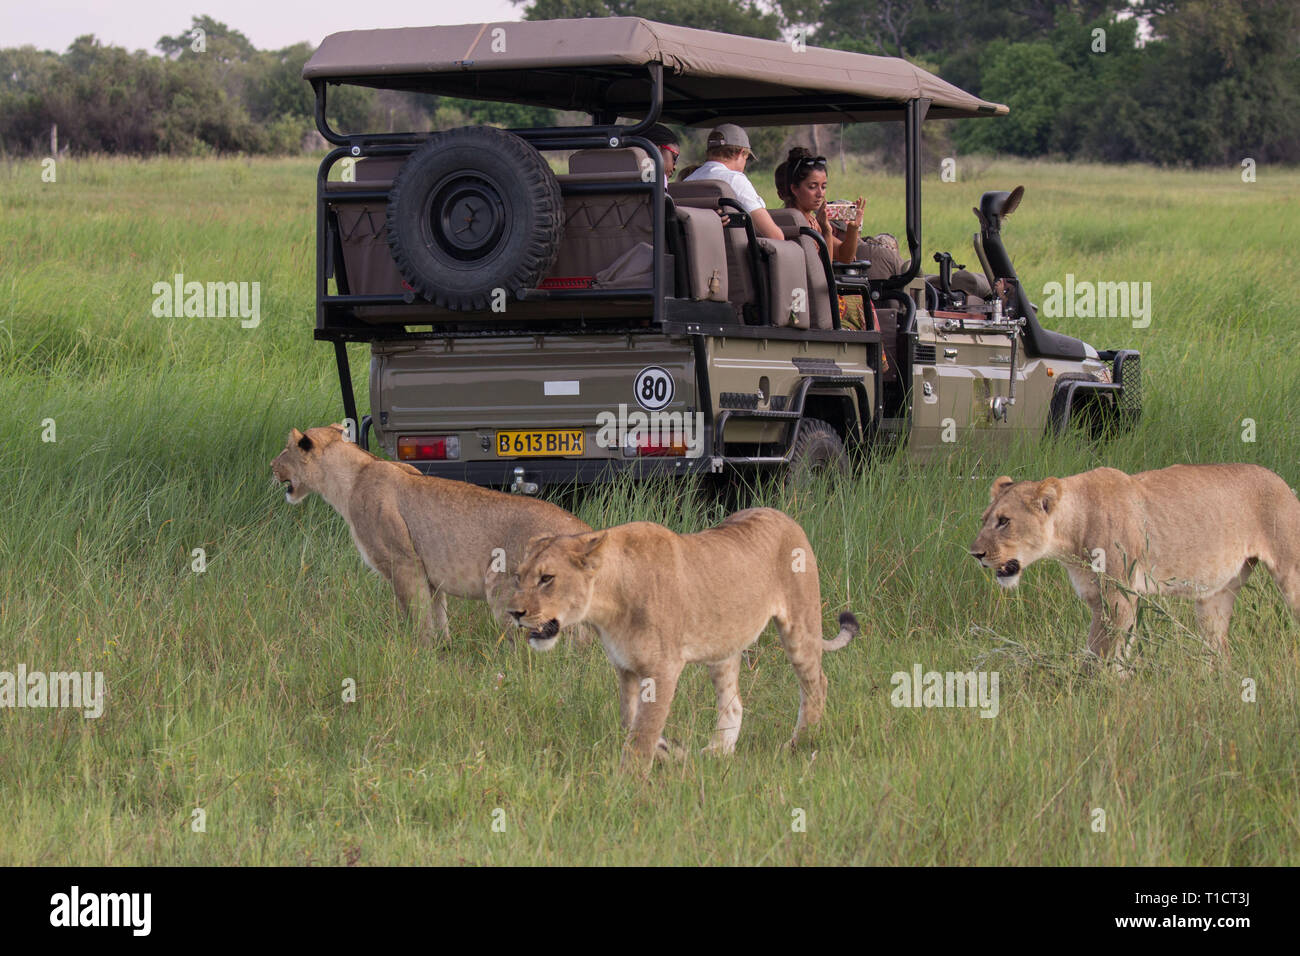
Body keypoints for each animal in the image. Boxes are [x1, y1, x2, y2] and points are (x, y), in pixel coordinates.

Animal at [270, 424, 591, 643]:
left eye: (285, 450)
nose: (272, 466)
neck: (351, 478)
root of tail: (583, 531)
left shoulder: (404, 563)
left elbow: (417, 616)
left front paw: (418, 654)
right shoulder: (430, 573)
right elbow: (438, 616)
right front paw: (442, 649)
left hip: (503, 586)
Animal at [506, 507, 859, 772]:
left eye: (547, 578)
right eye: (518, 577)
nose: (514, 612)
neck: (607, 603)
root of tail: (783, 515)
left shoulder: (663, 668)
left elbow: (642, 732)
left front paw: (628, 784)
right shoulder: (626, 667)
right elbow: (630, 720)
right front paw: (669, 751)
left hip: (799, 626)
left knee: (816, 683)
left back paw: (799, 743)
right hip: (723, 645)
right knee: (733, 703)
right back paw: (718, 752)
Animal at [969, 464, 1300, 669]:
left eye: (1004, 521)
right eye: (984, 519)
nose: (975, 553)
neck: (1072, 531)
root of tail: (1283, 482)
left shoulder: (1119, 597)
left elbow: (1102, 654)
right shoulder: (1099, 598)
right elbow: (1105, 649)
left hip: (1292, 575)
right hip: (1216, 596)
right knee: (1219, 650)